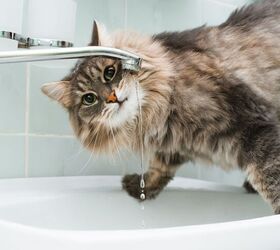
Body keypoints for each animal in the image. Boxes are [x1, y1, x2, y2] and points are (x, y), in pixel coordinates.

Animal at [42, 0, 280, 213]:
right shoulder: (177, 144)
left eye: (109, 72)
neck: (159, 113)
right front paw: (141, 186)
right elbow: (160, 166)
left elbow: (269, 177)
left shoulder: (252, 125)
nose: (112, 98)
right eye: (89, 99)